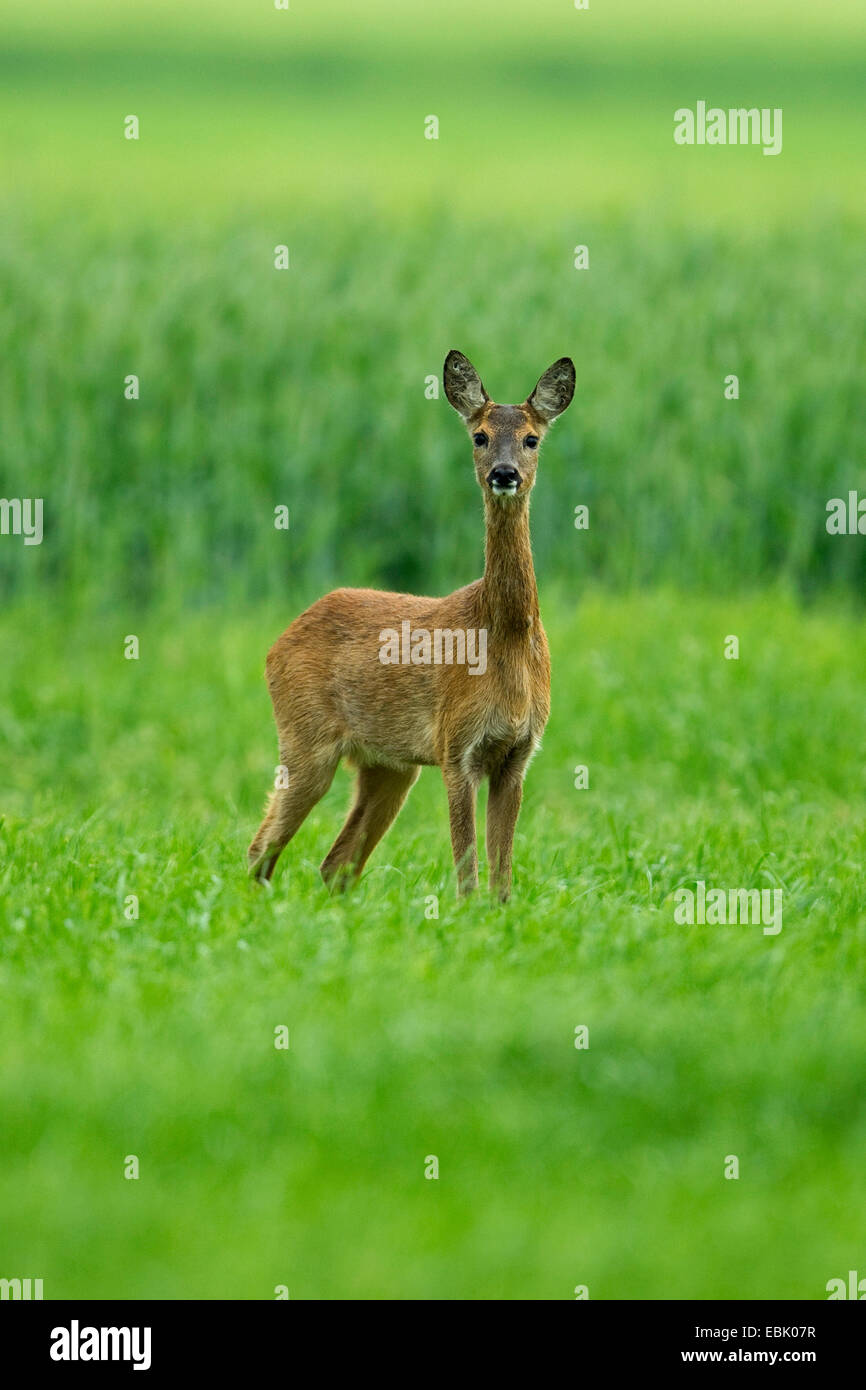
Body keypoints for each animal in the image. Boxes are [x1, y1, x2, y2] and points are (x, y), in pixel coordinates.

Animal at [248, 350, 575, 900]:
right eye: (479, 436)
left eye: (532, 438)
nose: (504, 473)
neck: (502, 638)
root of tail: (278, 642)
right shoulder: (456, 745)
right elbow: (466, 866)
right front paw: (468, 913)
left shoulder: (518, 752)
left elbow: (502, 871)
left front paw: (501, 912)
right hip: (304, 737)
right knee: (261, 847)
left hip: (388, 766)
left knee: (335, 863)